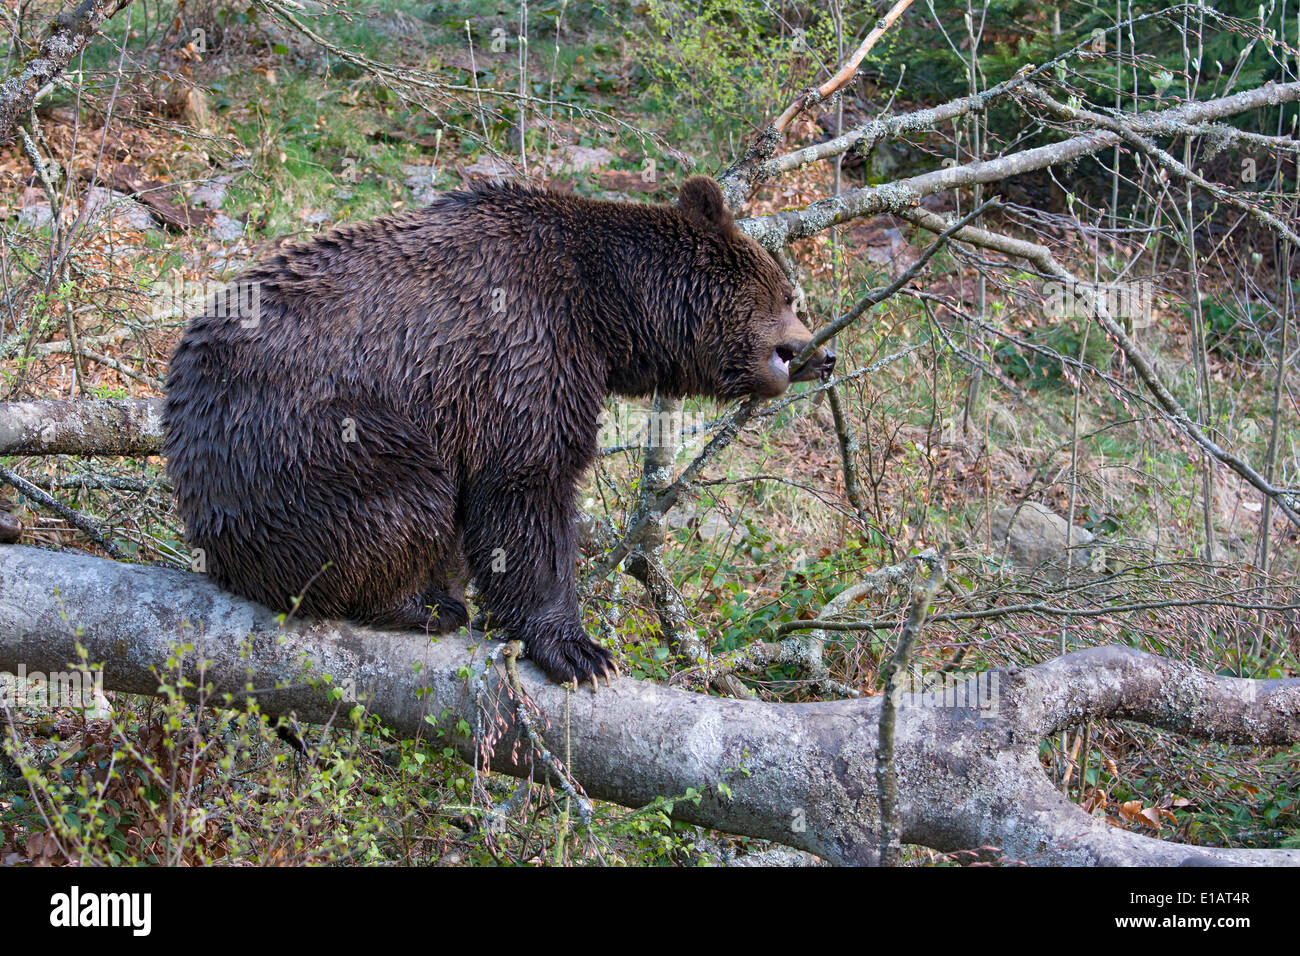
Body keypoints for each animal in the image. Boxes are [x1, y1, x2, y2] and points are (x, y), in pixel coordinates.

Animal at [163, 176, 835, 688]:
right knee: (403, 501)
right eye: (786, 294)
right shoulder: (523, 349)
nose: (821, 354)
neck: (608, 309)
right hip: (303, 442)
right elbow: (525, 487)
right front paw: (579, 649)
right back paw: (423, 603)